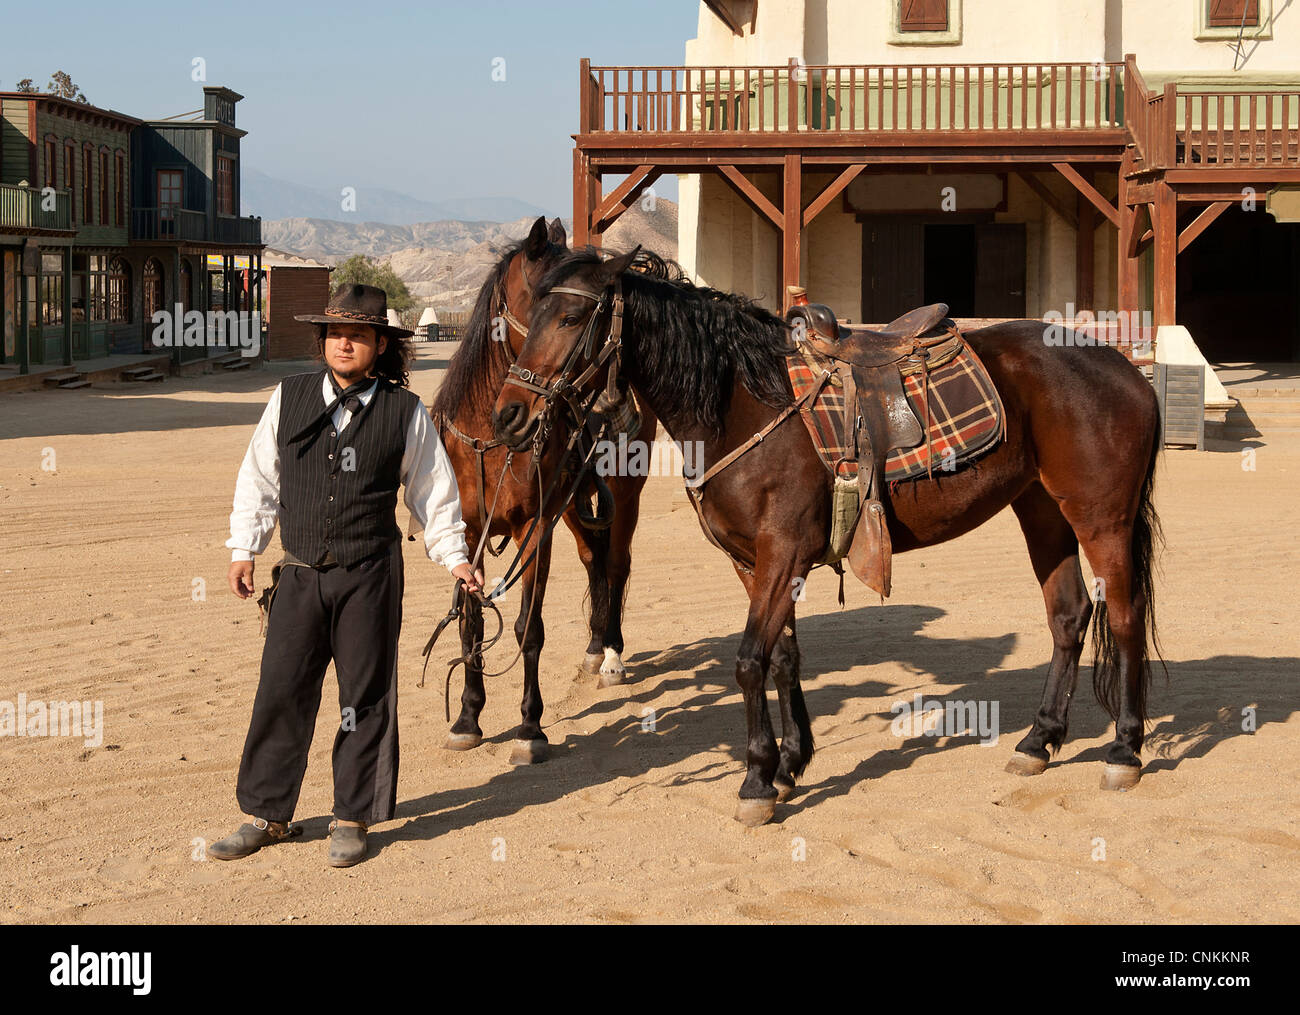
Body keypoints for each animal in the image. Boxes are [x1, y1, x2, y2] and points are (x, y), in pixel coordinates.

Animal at [429, 218, 656, 765]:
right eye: (537, 303)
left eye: (570, 315)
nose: (513, 416)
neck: (488, 441)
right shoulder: (467, 532)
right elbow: (470, 622)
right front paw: (467, 718)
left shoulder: (535, 530)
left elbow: (528, 629)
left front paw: (530, 728)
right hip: (573, 507)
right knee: (593, 559)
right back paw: (595, 647)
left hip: (625, 495)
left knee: (616, 563)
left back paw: (612, 655)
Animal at [492, 245, 1164, 825]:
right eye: (529, 316)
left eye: (570, 316)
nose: (509, 415)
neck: (744, 404)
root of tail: (1126, 368)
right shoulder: (755, 563)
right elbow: (784, 658)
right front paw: (791, 762)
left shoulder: (780, 554)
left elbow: (748, 661)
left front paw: (757, 780)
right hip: (1043, 511)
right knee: (1069, 617)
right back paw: (1039, 740)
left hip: (1101, 518)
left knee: (1124, 614)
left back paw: (1124, 750)